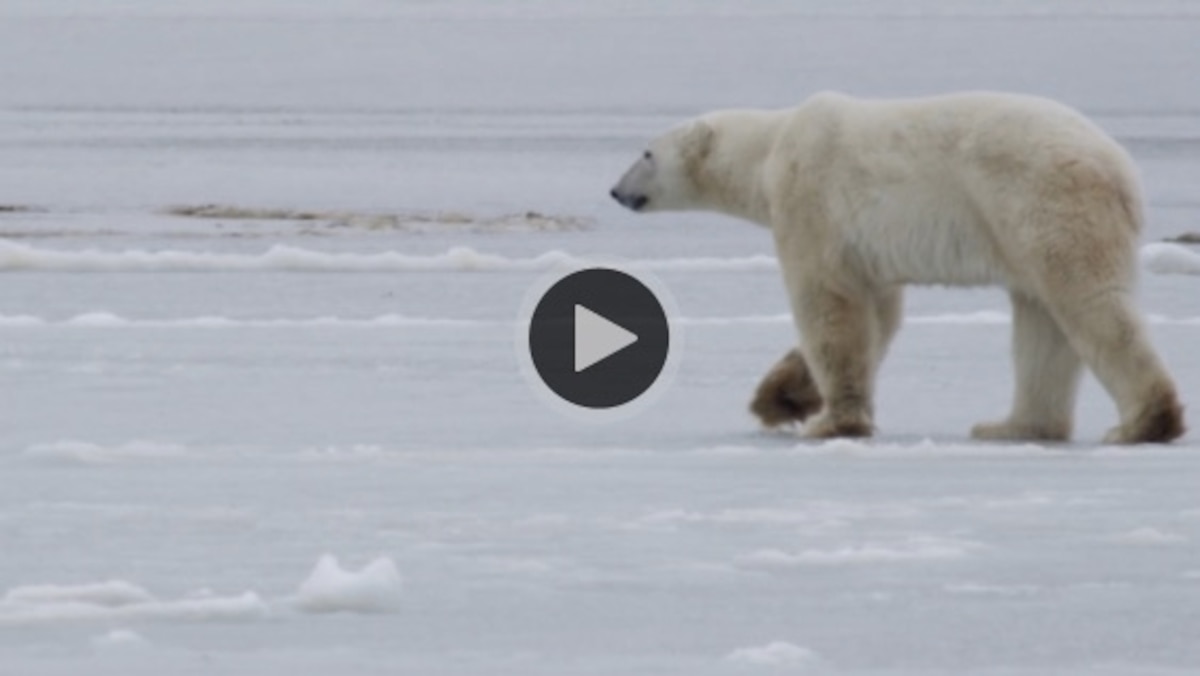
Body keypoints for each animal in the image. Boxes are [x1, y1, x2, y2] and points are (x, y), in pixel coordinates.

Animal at [610, 91, 1185, 444]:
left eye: (646, 153)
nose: (616, 191)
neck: (771, 148)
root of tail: (1123, 169)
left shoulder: (810, 200)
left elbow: (827, 306)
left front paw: (831, 421)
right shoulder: (862, 246)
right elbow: (878, 314)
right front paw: (779, 399)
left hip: (1043, 201)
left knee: (1088, 303)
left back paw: (1143, 423)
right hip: (1024, 227)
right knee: (1041, 320)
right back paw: (1012, 425)